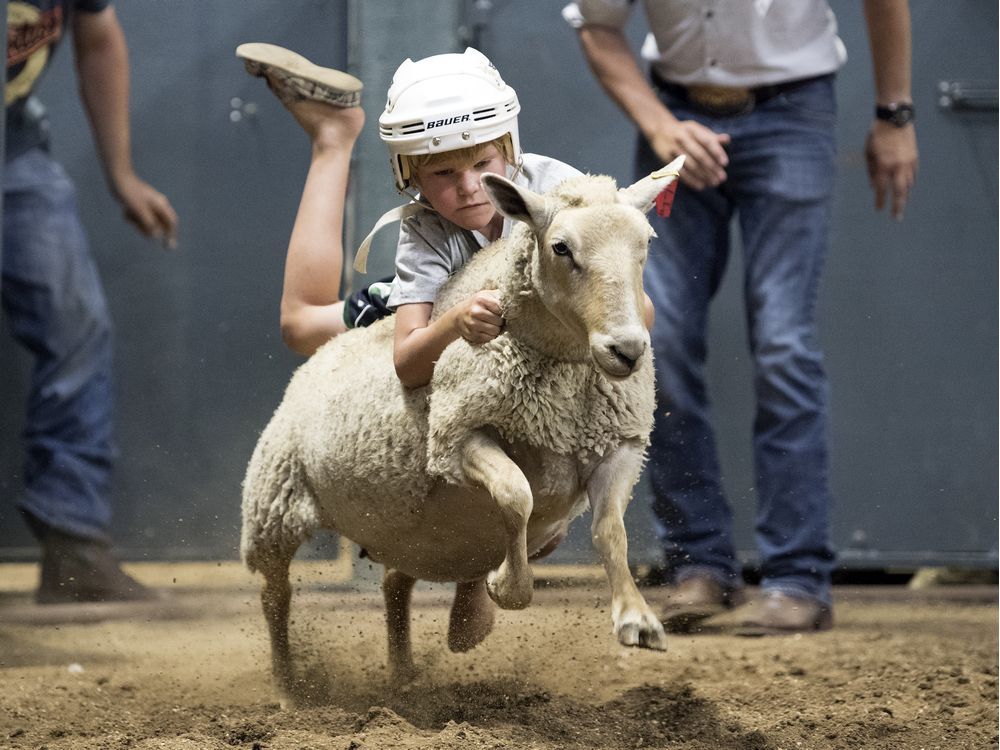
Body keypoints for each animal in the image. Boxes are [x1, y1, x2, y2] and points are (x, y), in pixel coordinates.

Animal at [241, 157, 684, 701]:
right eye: (561, 248)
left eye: (646, 242)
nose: (627, 350)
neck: (563, 373)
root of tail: (328, 346)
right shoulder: (456, 434)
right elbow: (516, 495)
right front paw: (508, 590)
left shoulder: (621, 443)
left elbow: (610, 530)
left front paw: (636, 620)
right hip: (275, 504)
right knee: (275, 594)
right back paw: (288, 688)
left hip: (403, 530)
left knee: (394, 585)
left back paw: (410, 669)